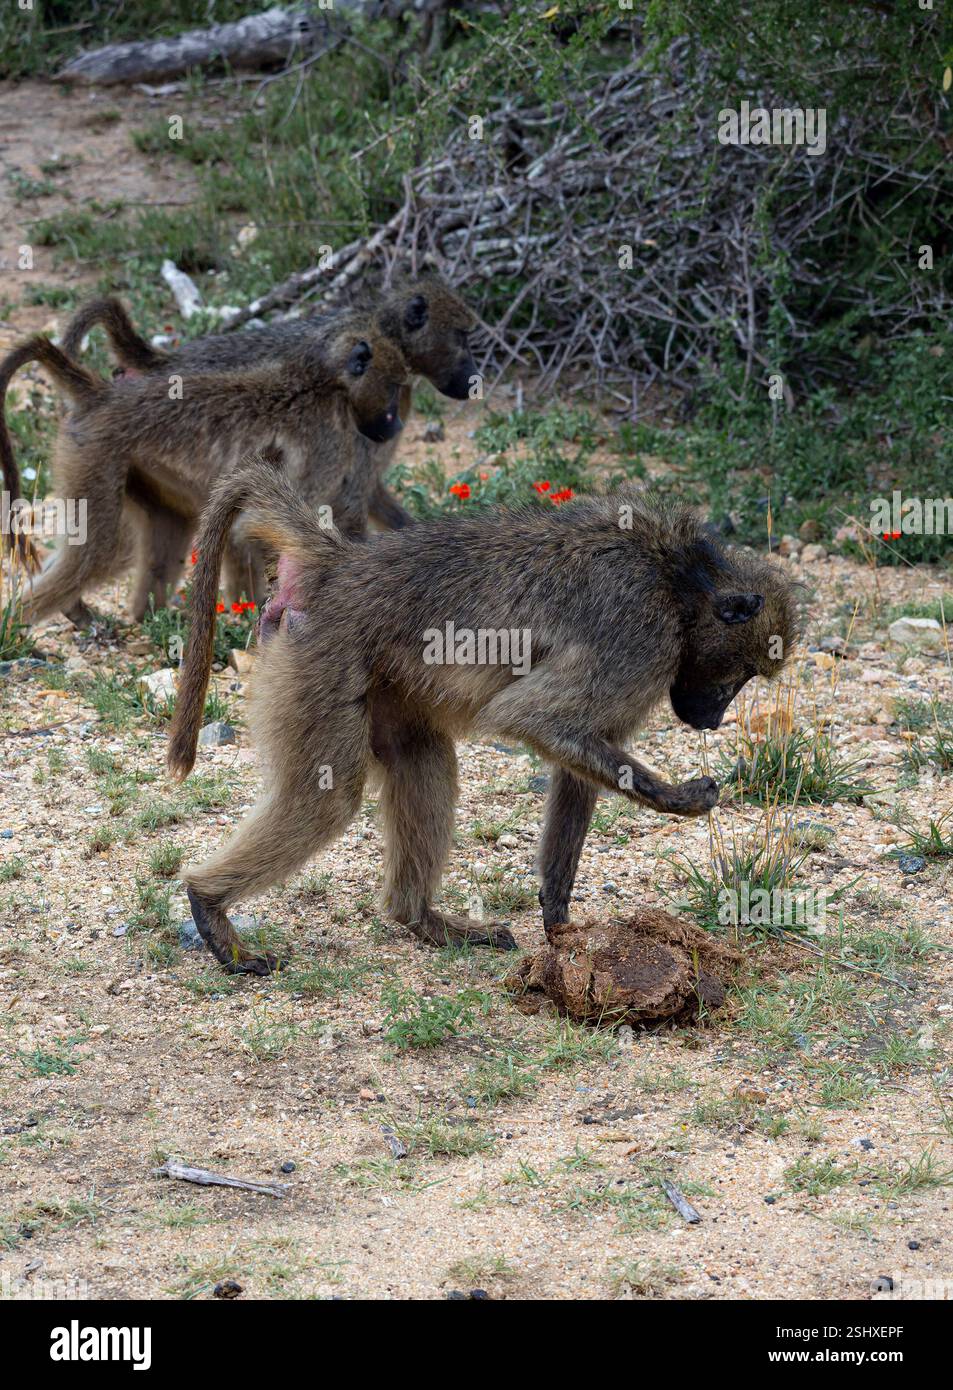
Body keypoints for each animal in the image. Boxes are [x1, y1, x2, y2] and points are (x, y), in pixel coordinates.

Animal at [0, 316, 410, 628]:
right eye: (394, 389)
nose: (394, 425)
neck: (321, 383)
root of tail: (98, 395)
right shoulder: (330, 443)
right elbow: (261, 528)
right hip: (95, 459)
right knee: (98, 552)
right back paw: (20, 628)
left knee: (165, 530)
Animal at [167, 456, 799, 975]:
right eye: (741, 673)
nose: (711, 720)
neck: (679, 574)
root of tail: (338, 564)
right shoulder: (640, 639)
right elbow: (531, 717)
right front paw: (684, 798)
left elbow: (576, 764)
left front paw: (558, 916)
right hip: (320, 660)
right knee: (328, 797)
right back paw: (209, 907)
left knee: (423, 760)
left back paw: (422, 919)